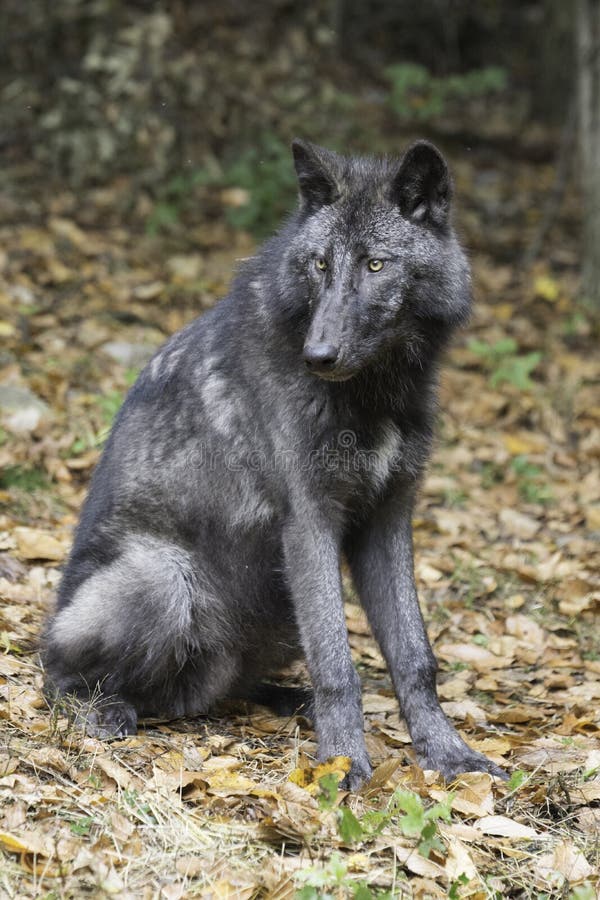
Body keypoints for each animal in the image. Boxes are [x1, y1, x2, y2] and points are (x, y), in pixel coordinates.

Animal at [43, 139, 507, 788]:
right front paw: (343, 764)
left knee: (230, 688)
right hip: (164, 579)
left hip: (274, 612)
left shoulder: (387, 519)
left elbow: (416, 658)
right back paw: (103, 708)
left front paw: (448, 754)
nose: (319, 355)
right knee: (58, 674)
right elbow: (338, 665)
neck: (375, 394)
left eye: (375, 265)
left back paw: (287, 700)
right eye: (319, 265)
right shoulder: (310, 521)